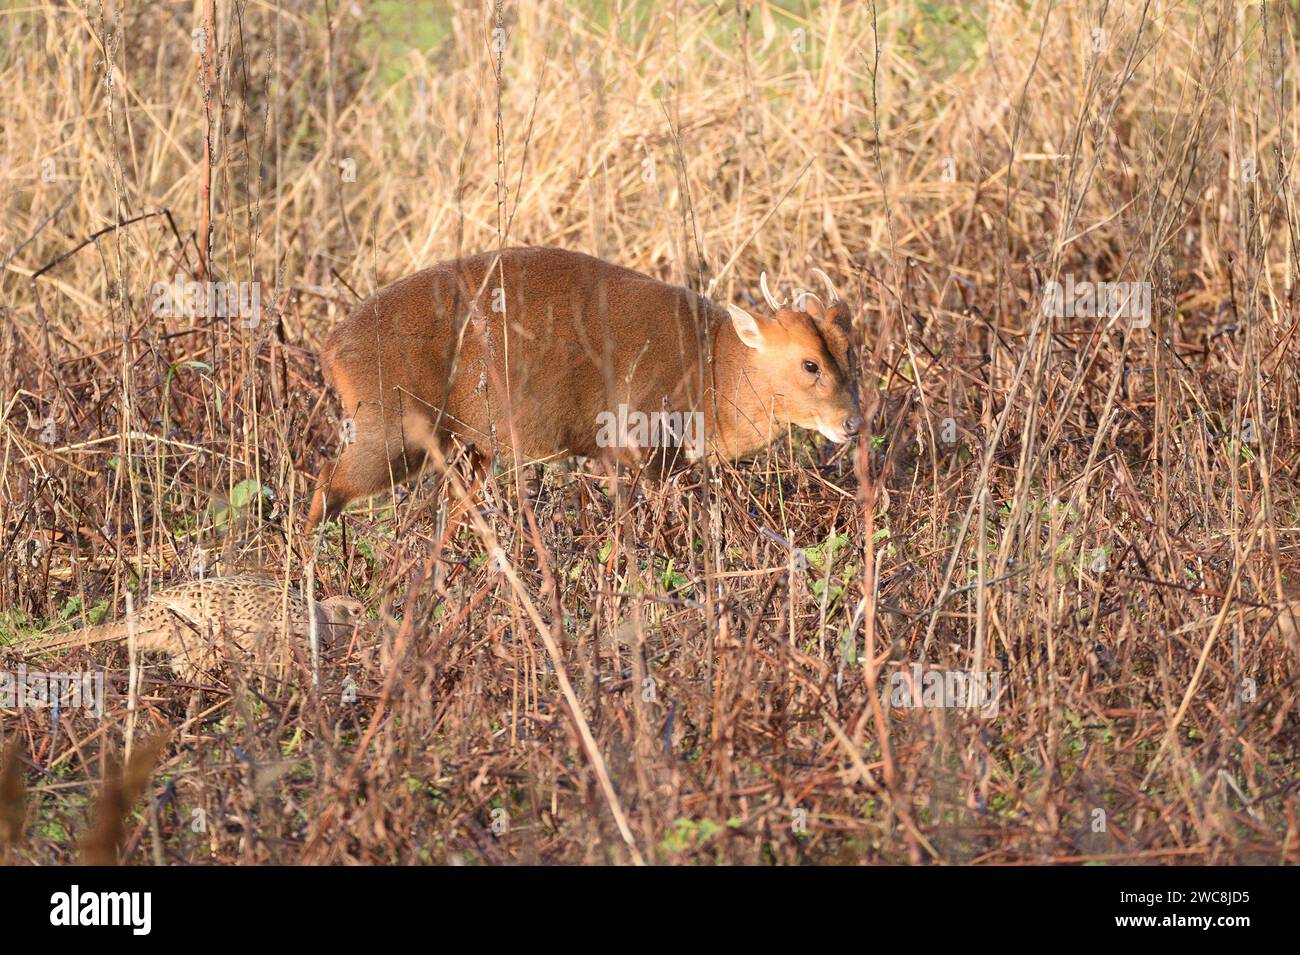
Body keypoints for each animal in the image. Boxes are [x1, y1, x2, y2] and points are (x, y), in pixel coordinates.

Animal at [304, 246, 863, 532]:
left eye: (850, 350)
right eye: (809, 363)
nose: (853, 422)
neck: (714, 369)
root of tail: (332, 346)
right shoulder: (640, 441)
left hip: (470, 446)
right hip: (392, 427)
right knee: (327, 482)